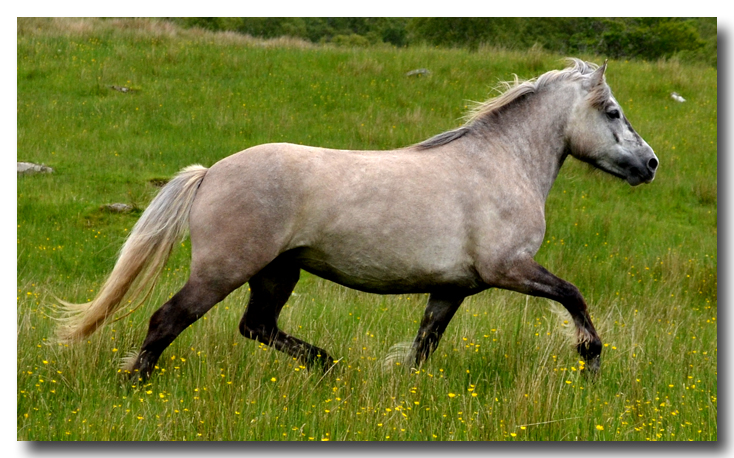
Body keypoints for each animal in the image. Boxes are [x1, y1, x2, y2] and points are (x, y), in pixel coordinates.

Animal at [56, 59, 658, 380]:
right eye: (612, 112)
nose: (649, 164)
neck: (501, 163)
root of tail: (210, 174)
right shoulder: (507, 268)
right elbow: (573, 295)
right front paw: (590, 359)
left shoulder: (454, 288)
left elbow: (423, 346)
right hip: (223, 270)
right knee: (168, 320)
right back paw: (134, 383)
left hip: (277, 272)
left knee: (258, 327)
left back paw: (329, 367)